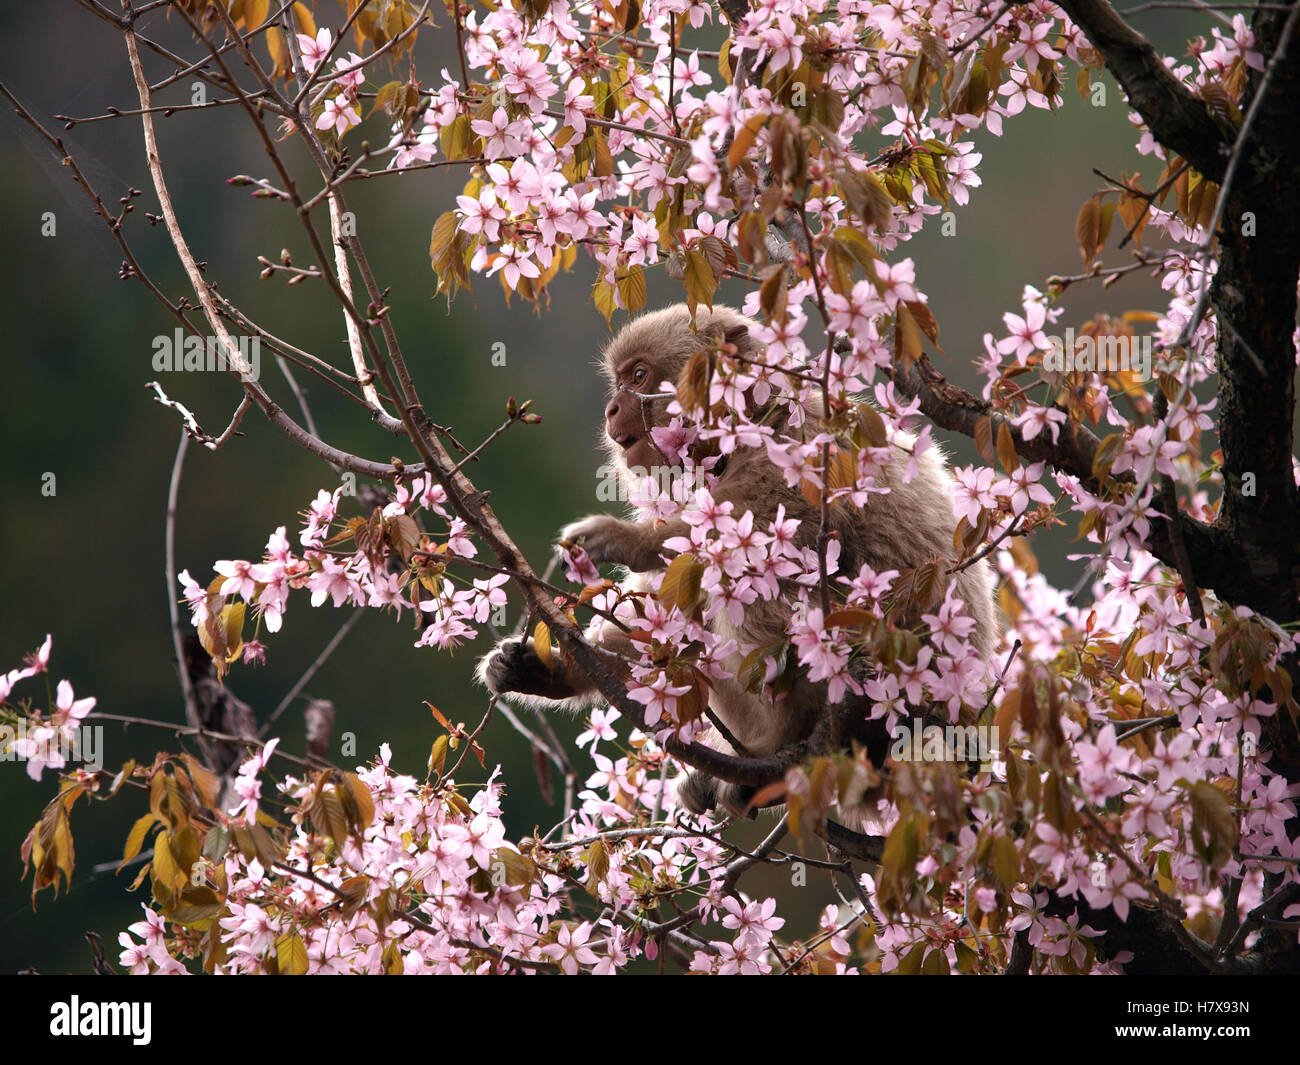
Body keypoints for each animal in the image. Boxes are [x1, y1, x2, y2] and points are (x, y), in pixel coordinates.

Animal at [477, 303, 998, 817]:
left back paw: (775, 748)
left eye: (639, 376)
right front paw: (552, 671)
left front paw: (628, 540)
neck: (750, 423)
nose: (612, 407)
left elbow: (762, 541)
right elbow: (664, 601)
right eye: (620, 380)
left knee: (757, 588)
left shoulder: (798, 443)